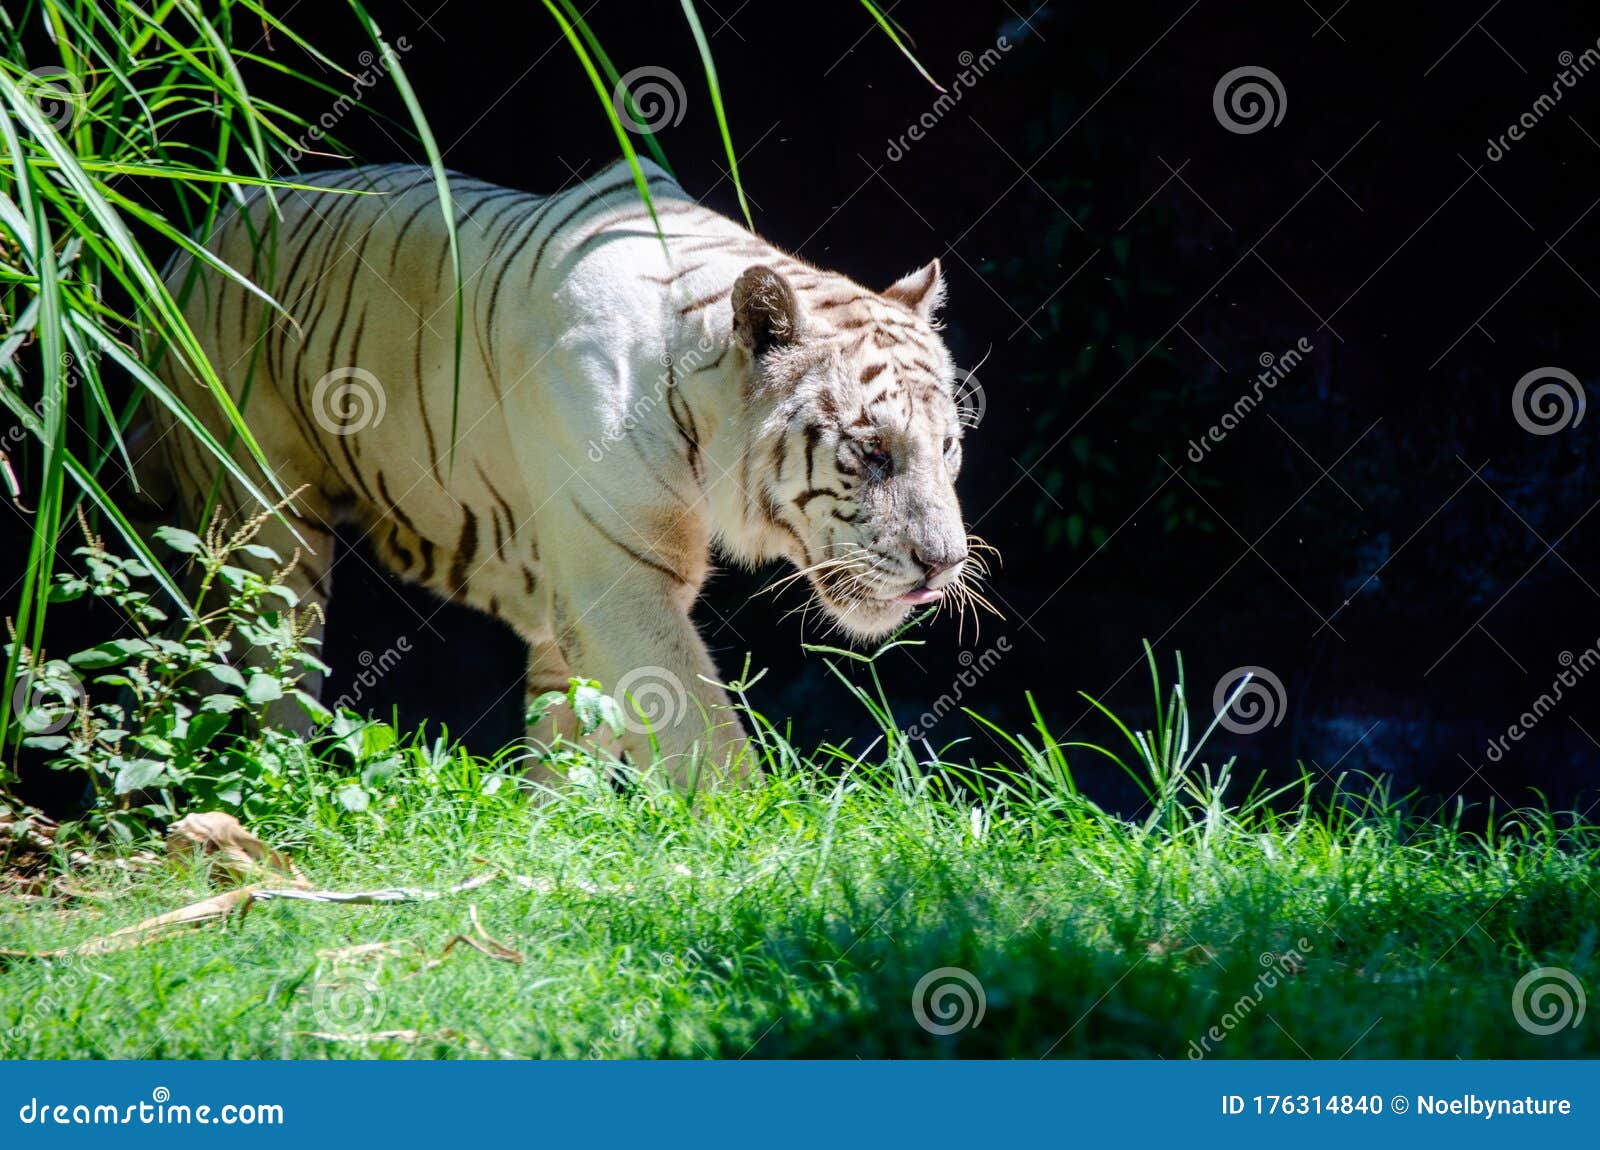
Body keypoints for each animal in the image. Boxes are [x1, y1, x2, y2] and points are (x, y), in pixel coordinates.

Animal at [151, 158, 979, 788]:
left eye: (947, 447)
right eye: (873, 451)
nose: (944, 565)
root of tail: (197, 235)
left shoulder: (578, 591)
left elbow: (578, 731)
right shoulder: (617, 578)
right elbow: (704, 732)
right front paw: (762, 845)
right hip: (264, 522)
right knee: (268, 672)